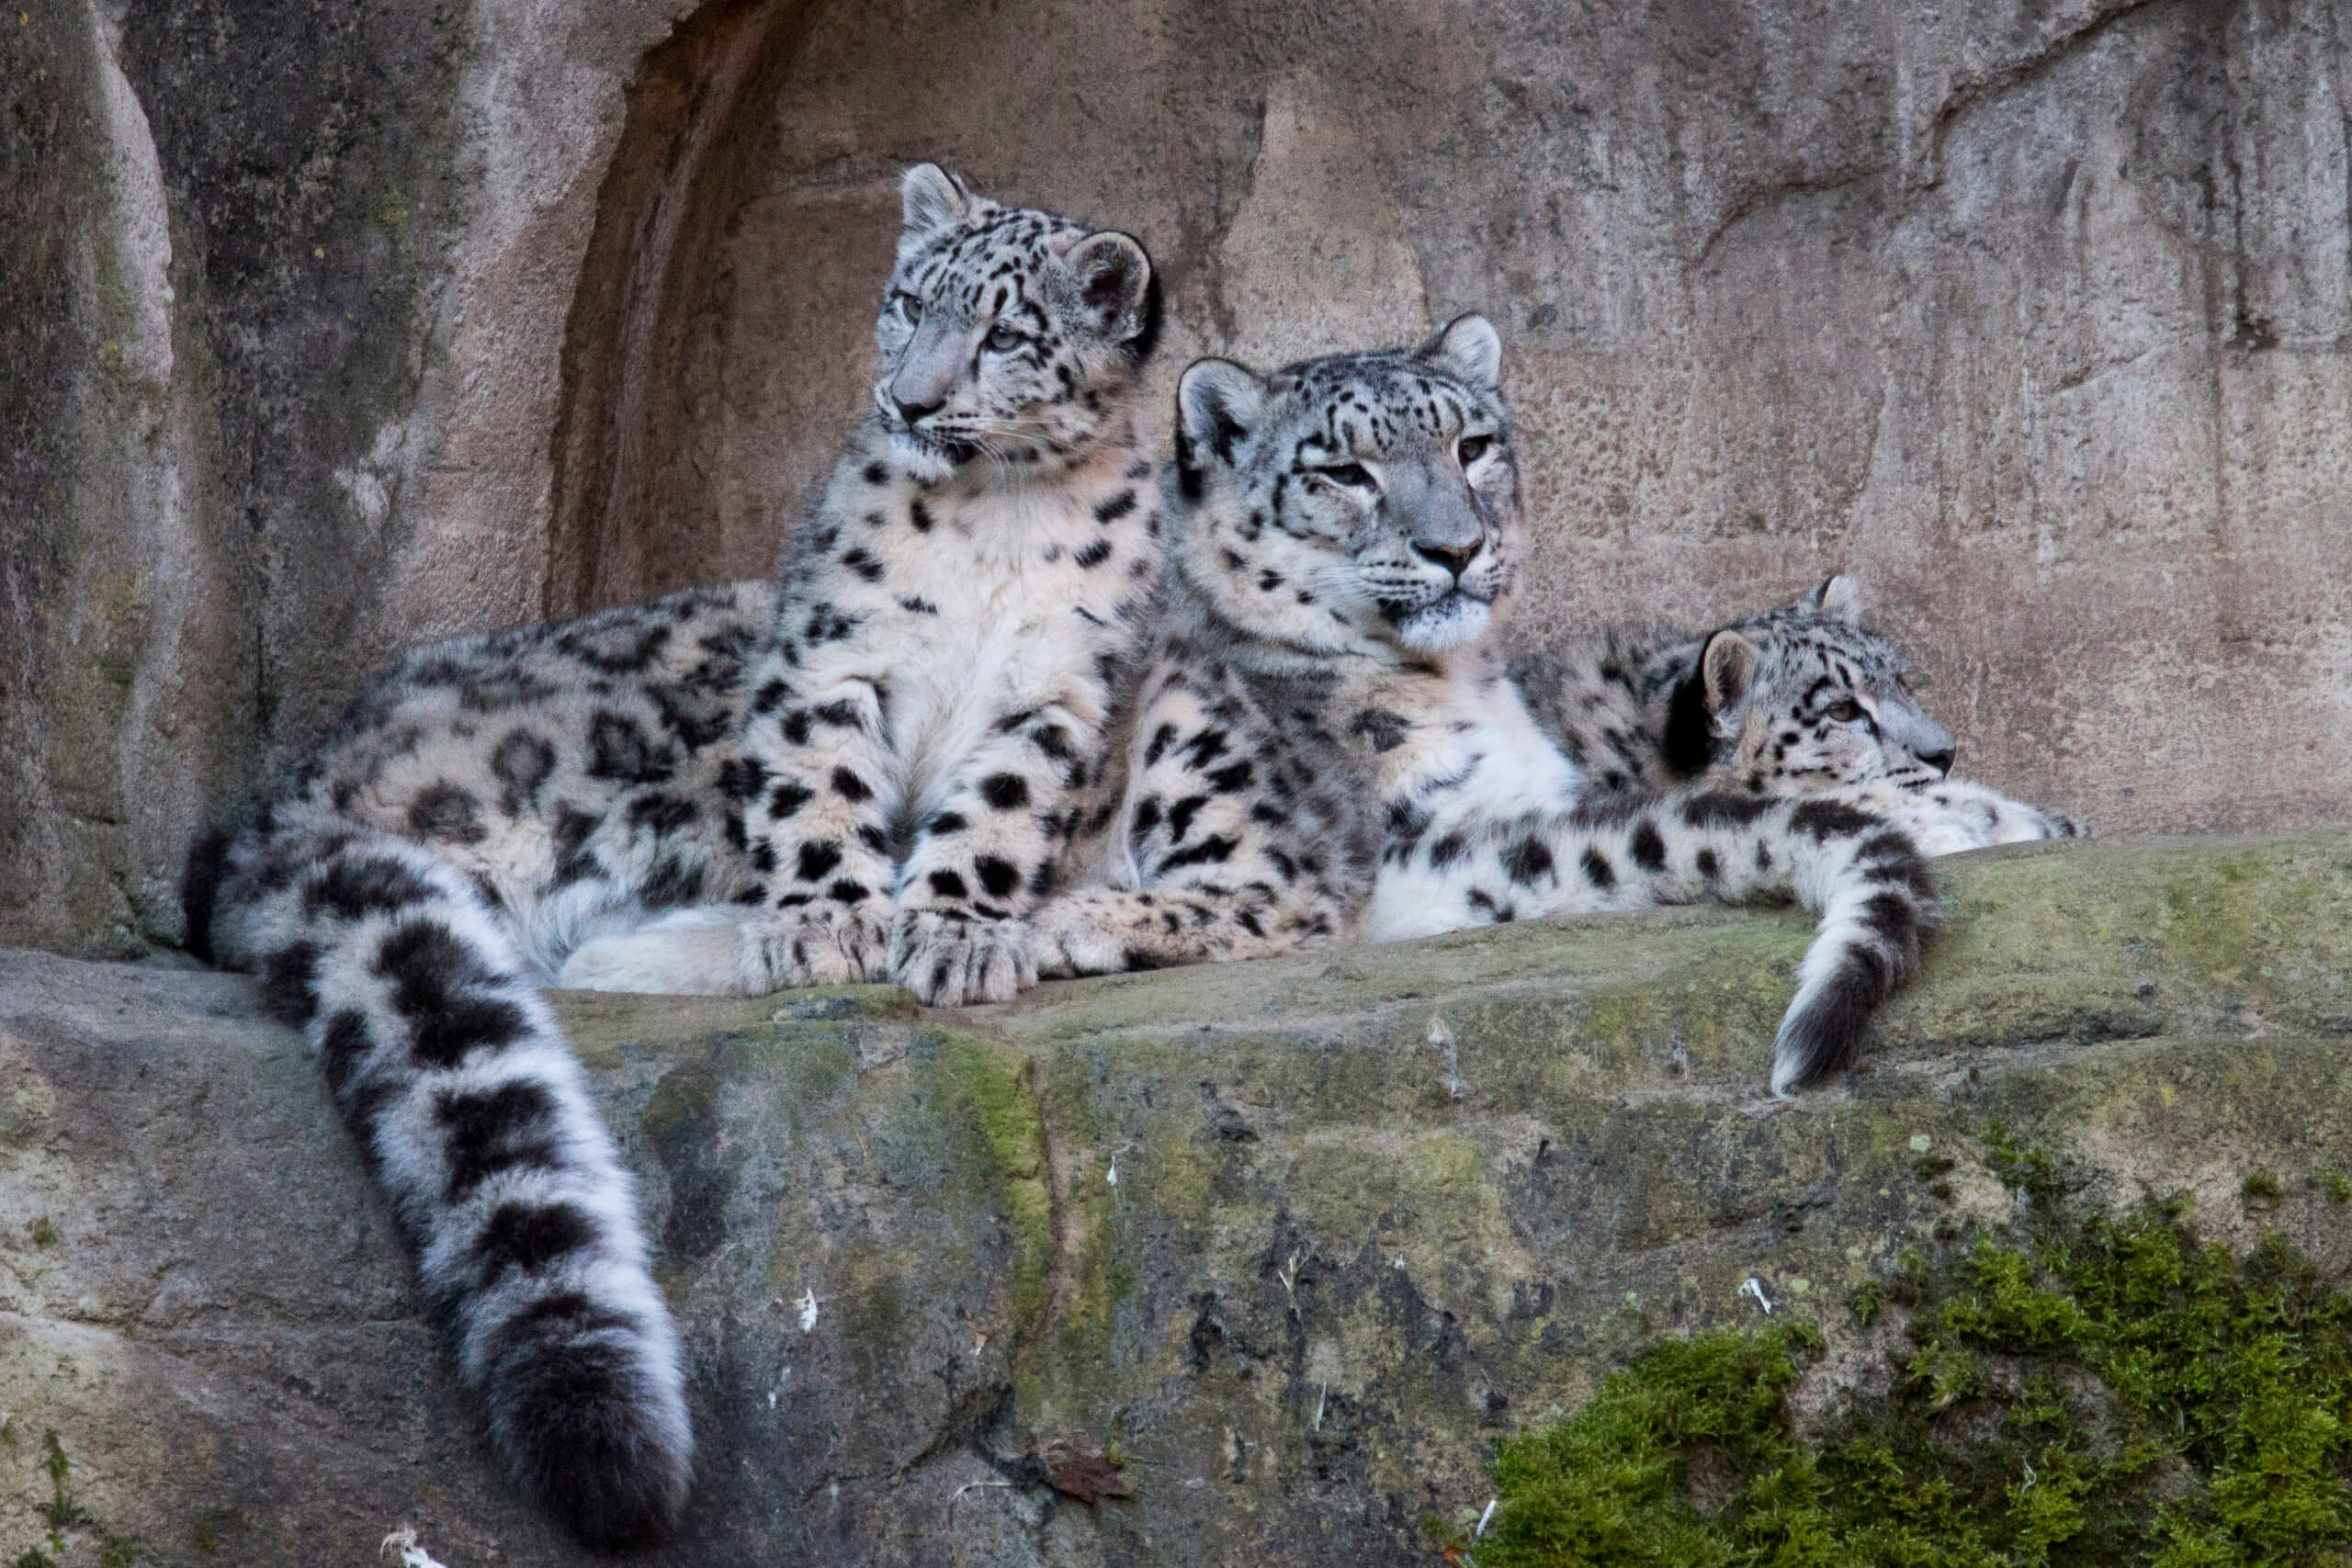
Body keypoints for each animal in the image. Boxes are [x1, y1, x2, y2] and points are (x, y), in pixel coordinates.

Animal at [179, 164, 1163, 1548]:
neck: (1001, 525)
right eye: (908, 302)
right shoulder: (826, 656)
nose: (911, 400)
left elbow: (996, 813)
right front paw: (834, 925)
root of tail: (308, 778)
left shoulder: (1058, 697)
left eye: (1007, 335)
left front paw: (958, 933)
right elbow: (821, 790)